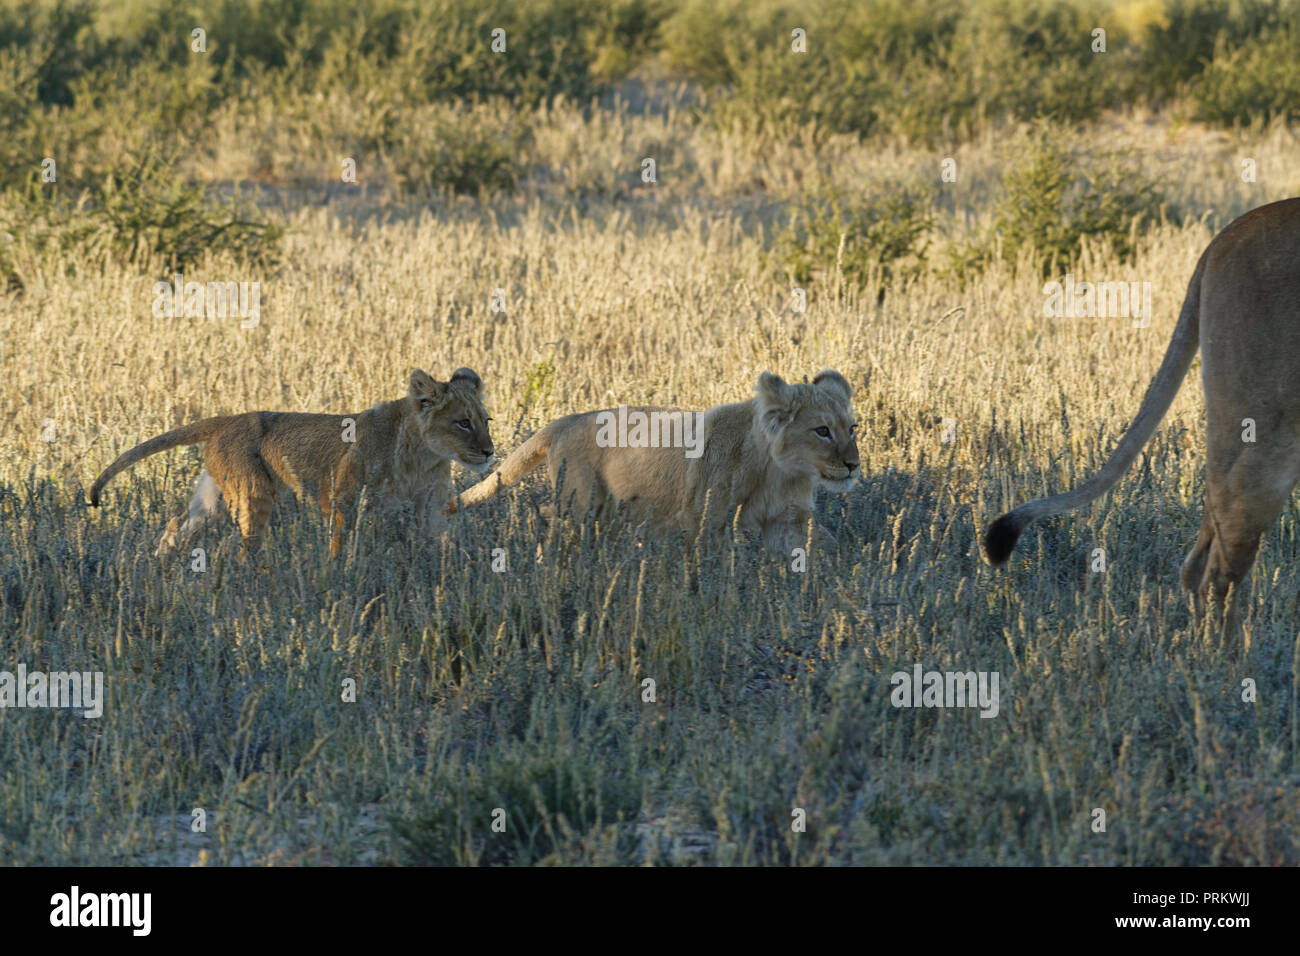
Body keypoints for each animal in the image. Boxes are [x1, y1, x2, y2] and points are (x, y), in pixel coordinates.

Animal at [88, 367, 495, 558]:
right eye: (463, 422)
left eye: (485, 420)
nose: (490, 452)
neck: (423, 456)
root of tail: (228, 419)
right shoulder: (344, 496)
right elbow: (341, 542)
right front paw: (340, 575)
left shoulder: (431, 508)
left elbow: (439, 543)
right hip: (253, 495)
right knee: (245, 549)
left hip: (212, 501)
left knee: (177, 525)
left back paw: (160, 564)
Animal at [446, 369, 860, 555]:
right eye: (822, 431)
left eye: (852, 428)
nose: (854, 466)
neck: (780, 471)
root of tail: (568, 419)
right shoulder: (705, 519)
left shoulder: (789, 520)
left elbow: (825, 544)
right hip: (582, 500)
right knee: (549, 515)